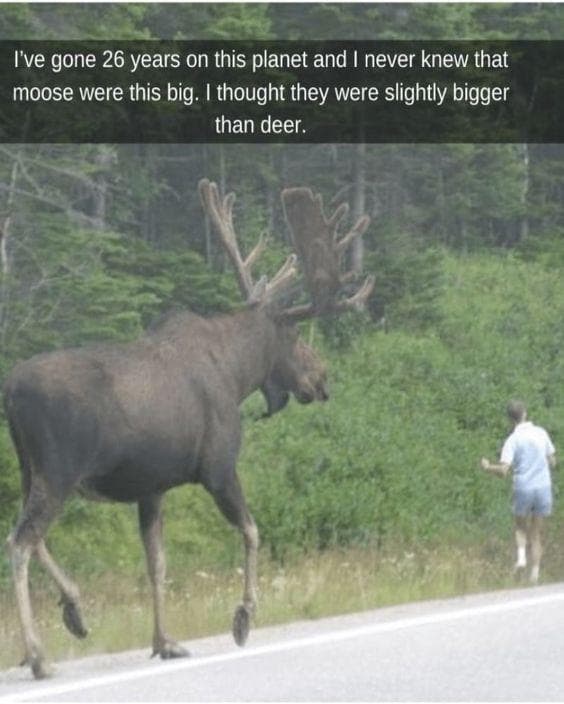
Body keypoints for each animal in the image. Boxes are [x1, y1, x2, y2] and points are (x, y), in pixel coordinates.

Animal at [3, 179, 374, 680]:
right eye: (296, 337)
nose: (322, 378)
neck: (238, 374)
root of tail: (9, 391)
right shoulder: (218, 467)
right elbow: (252, 531)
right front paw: (244, 617)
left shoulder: (151, 488)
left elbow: (157, 562)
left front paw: (164, 641)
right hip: (58, 473)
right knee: (20, 541)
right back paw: (40, 655)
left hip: (31, 470)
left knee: (28, 536)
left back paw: (73, 611)